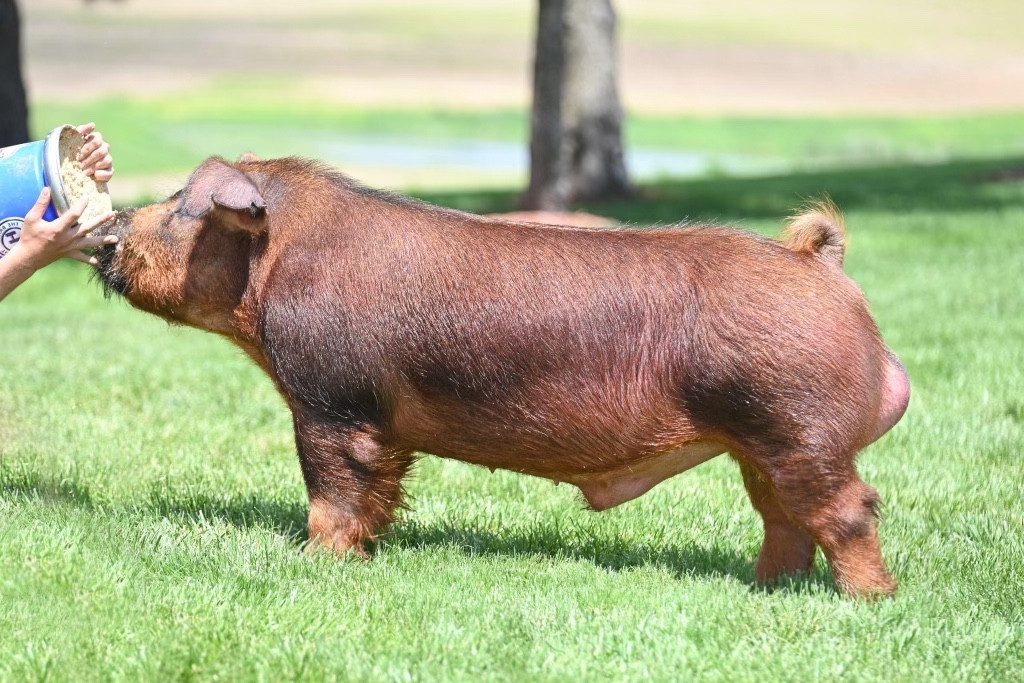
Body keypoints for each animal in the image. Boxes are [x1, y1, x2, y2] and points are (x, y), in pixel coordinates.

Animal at [94, 155, 910, 598]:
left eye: (181, 207)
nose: (107, 233)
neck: (277, 269)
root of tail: (818, 265)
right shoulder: (380, 426)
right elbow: (380, 489)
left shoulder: (331, 400)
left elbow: (333, 488)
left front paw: (314, 561)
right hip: (761, 443)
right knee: (784, 519)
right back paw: (765, 588)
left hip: (798, 426)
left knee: (849, 509)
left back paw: (867, 602)